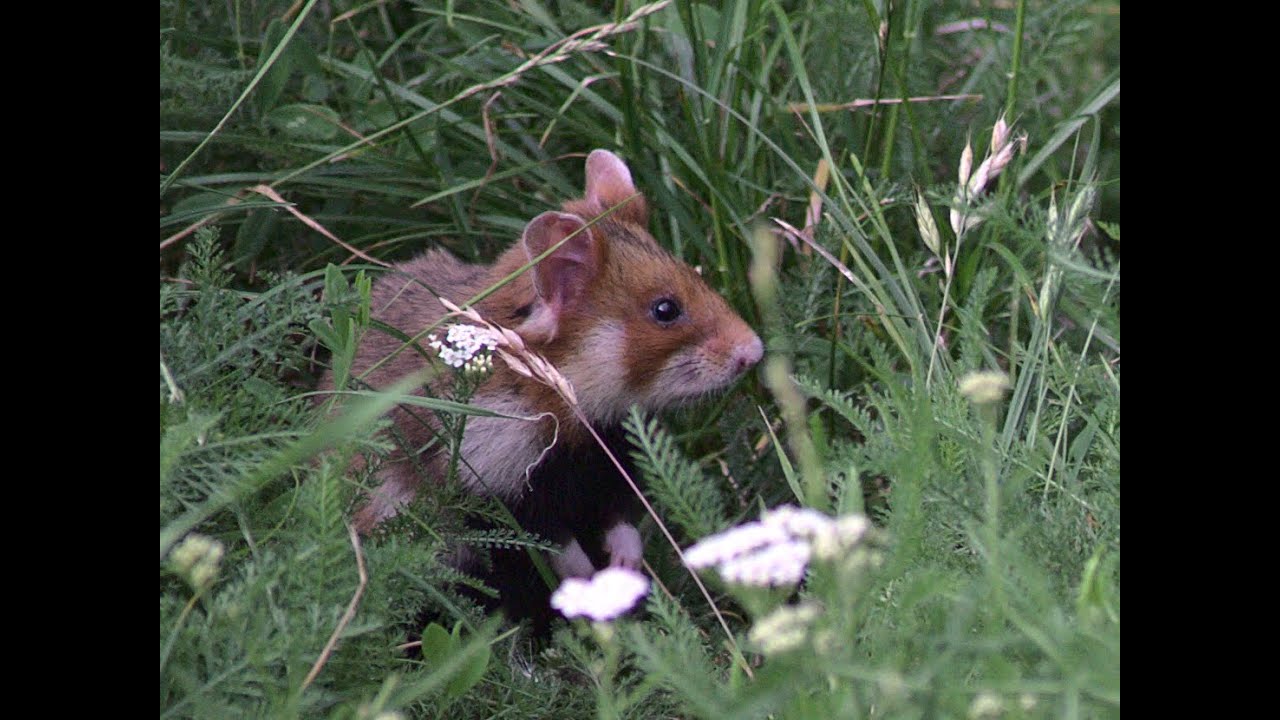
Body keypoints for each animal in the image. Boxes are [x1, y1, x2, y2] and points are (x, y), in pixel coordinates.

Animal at [330, 149, 763, 626]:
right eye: (665, 310)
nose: (755, 353)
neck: (570, 398)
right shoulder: (498, 491)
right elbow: (556, 543)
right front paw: (591, 582)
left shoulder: (611, 468)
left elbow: (621, 523)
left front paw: (625, 570)